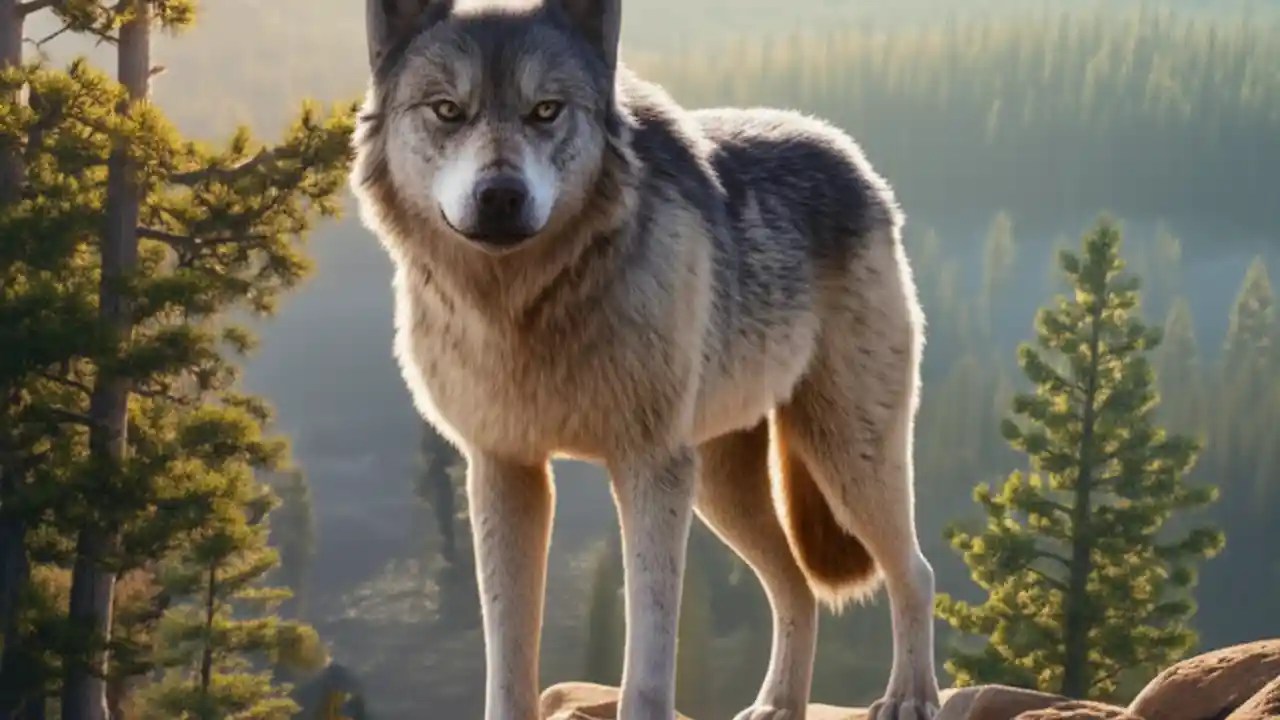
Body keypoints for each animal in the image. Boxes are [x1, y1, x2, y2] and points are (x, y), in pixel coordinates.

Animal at [351, 0, 941, 718]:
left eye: (545, 110)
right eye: (447, 110)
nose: (500, 196)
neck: (525, 307)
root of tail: (853, 158)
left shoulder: (648, 467)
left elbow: (650, 652)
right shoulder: (502, 466)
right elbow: (508, 661)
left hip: (844, 457)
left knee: (914, 572)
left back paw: (909, 697)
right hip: (720, 486)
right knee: (796, 588)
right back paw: (778, 704)